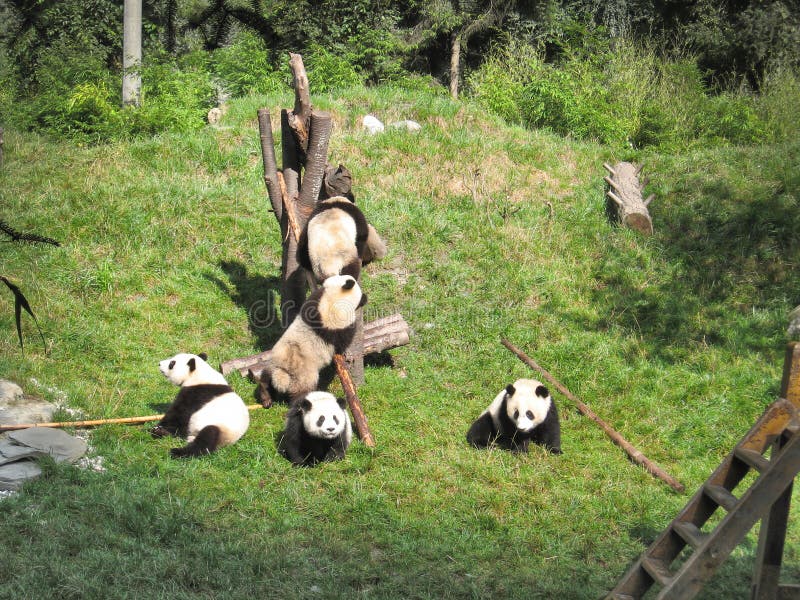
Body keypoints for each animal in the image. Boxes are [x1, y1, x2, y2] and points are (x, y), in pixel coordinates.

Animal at [260, 274, 367, 404]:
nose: (364, 298)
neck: (335, 301)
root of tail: (285, 374)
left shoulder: (314, 304)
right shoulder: (340, 326)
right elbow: (342, 342)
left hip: (276, 359)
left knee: (266, 378)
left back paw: (266, 397)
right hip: (304, 377)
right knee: (300, 393)